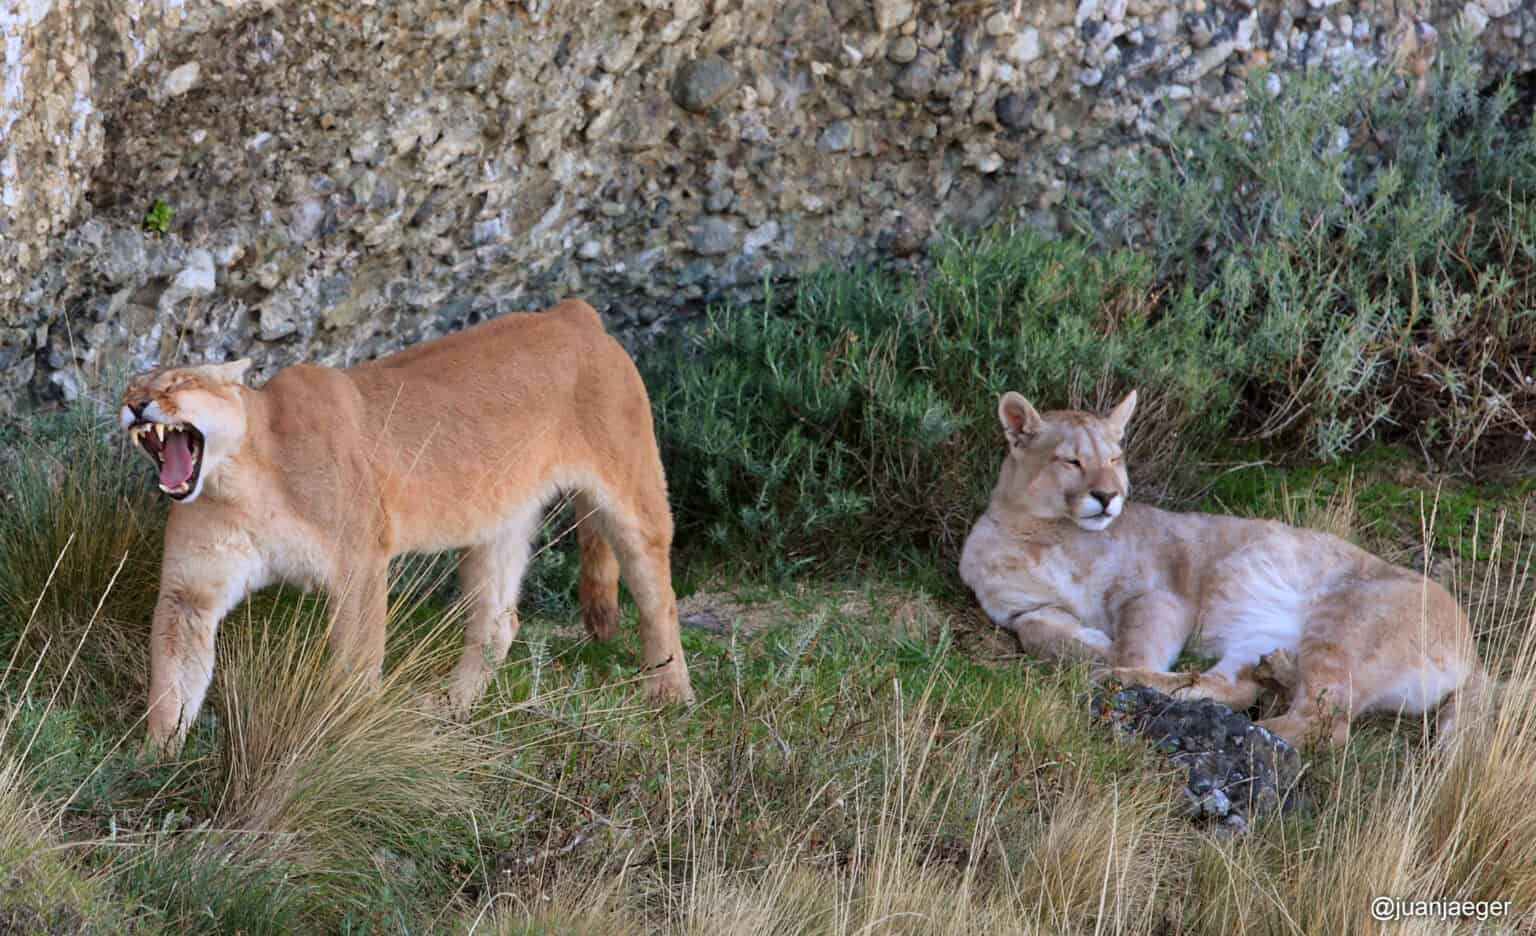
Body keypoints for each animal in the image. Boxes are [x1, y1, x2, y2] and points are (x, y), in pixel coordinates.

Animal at [121, 298, 694, 754]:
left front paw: (344, 731)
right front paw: (156, 758)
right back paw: (450, 706)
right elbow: (173, 677)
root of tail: (571, 312)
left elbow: (355, 662)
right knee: (497, 621)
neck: (238, 480)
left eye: (178, 383)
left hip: (631, 496)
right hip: (495, 524)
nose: (134, 406)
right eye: (130, 386)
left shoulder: (358, 566)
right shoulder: (190, 592)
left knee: (658, 597)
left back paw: (670, 695)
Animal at [958, 389, 1485, 747]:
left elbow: (1134, 643)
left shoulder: (1156, 594)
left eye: (1114, 458)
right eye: (1070, 461)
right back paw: (1252, 681)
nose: (1108, 496)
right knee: (1236, 687)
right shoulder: (1023, 609)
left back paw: (1244, 728)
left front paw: (1110, 659)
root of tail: (1472, 648)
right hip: (1255, 635)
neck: (1044, 532)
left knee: (1324, 723)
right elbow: (1040, 633)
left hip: (1344, 624)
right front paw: (1093, 649)